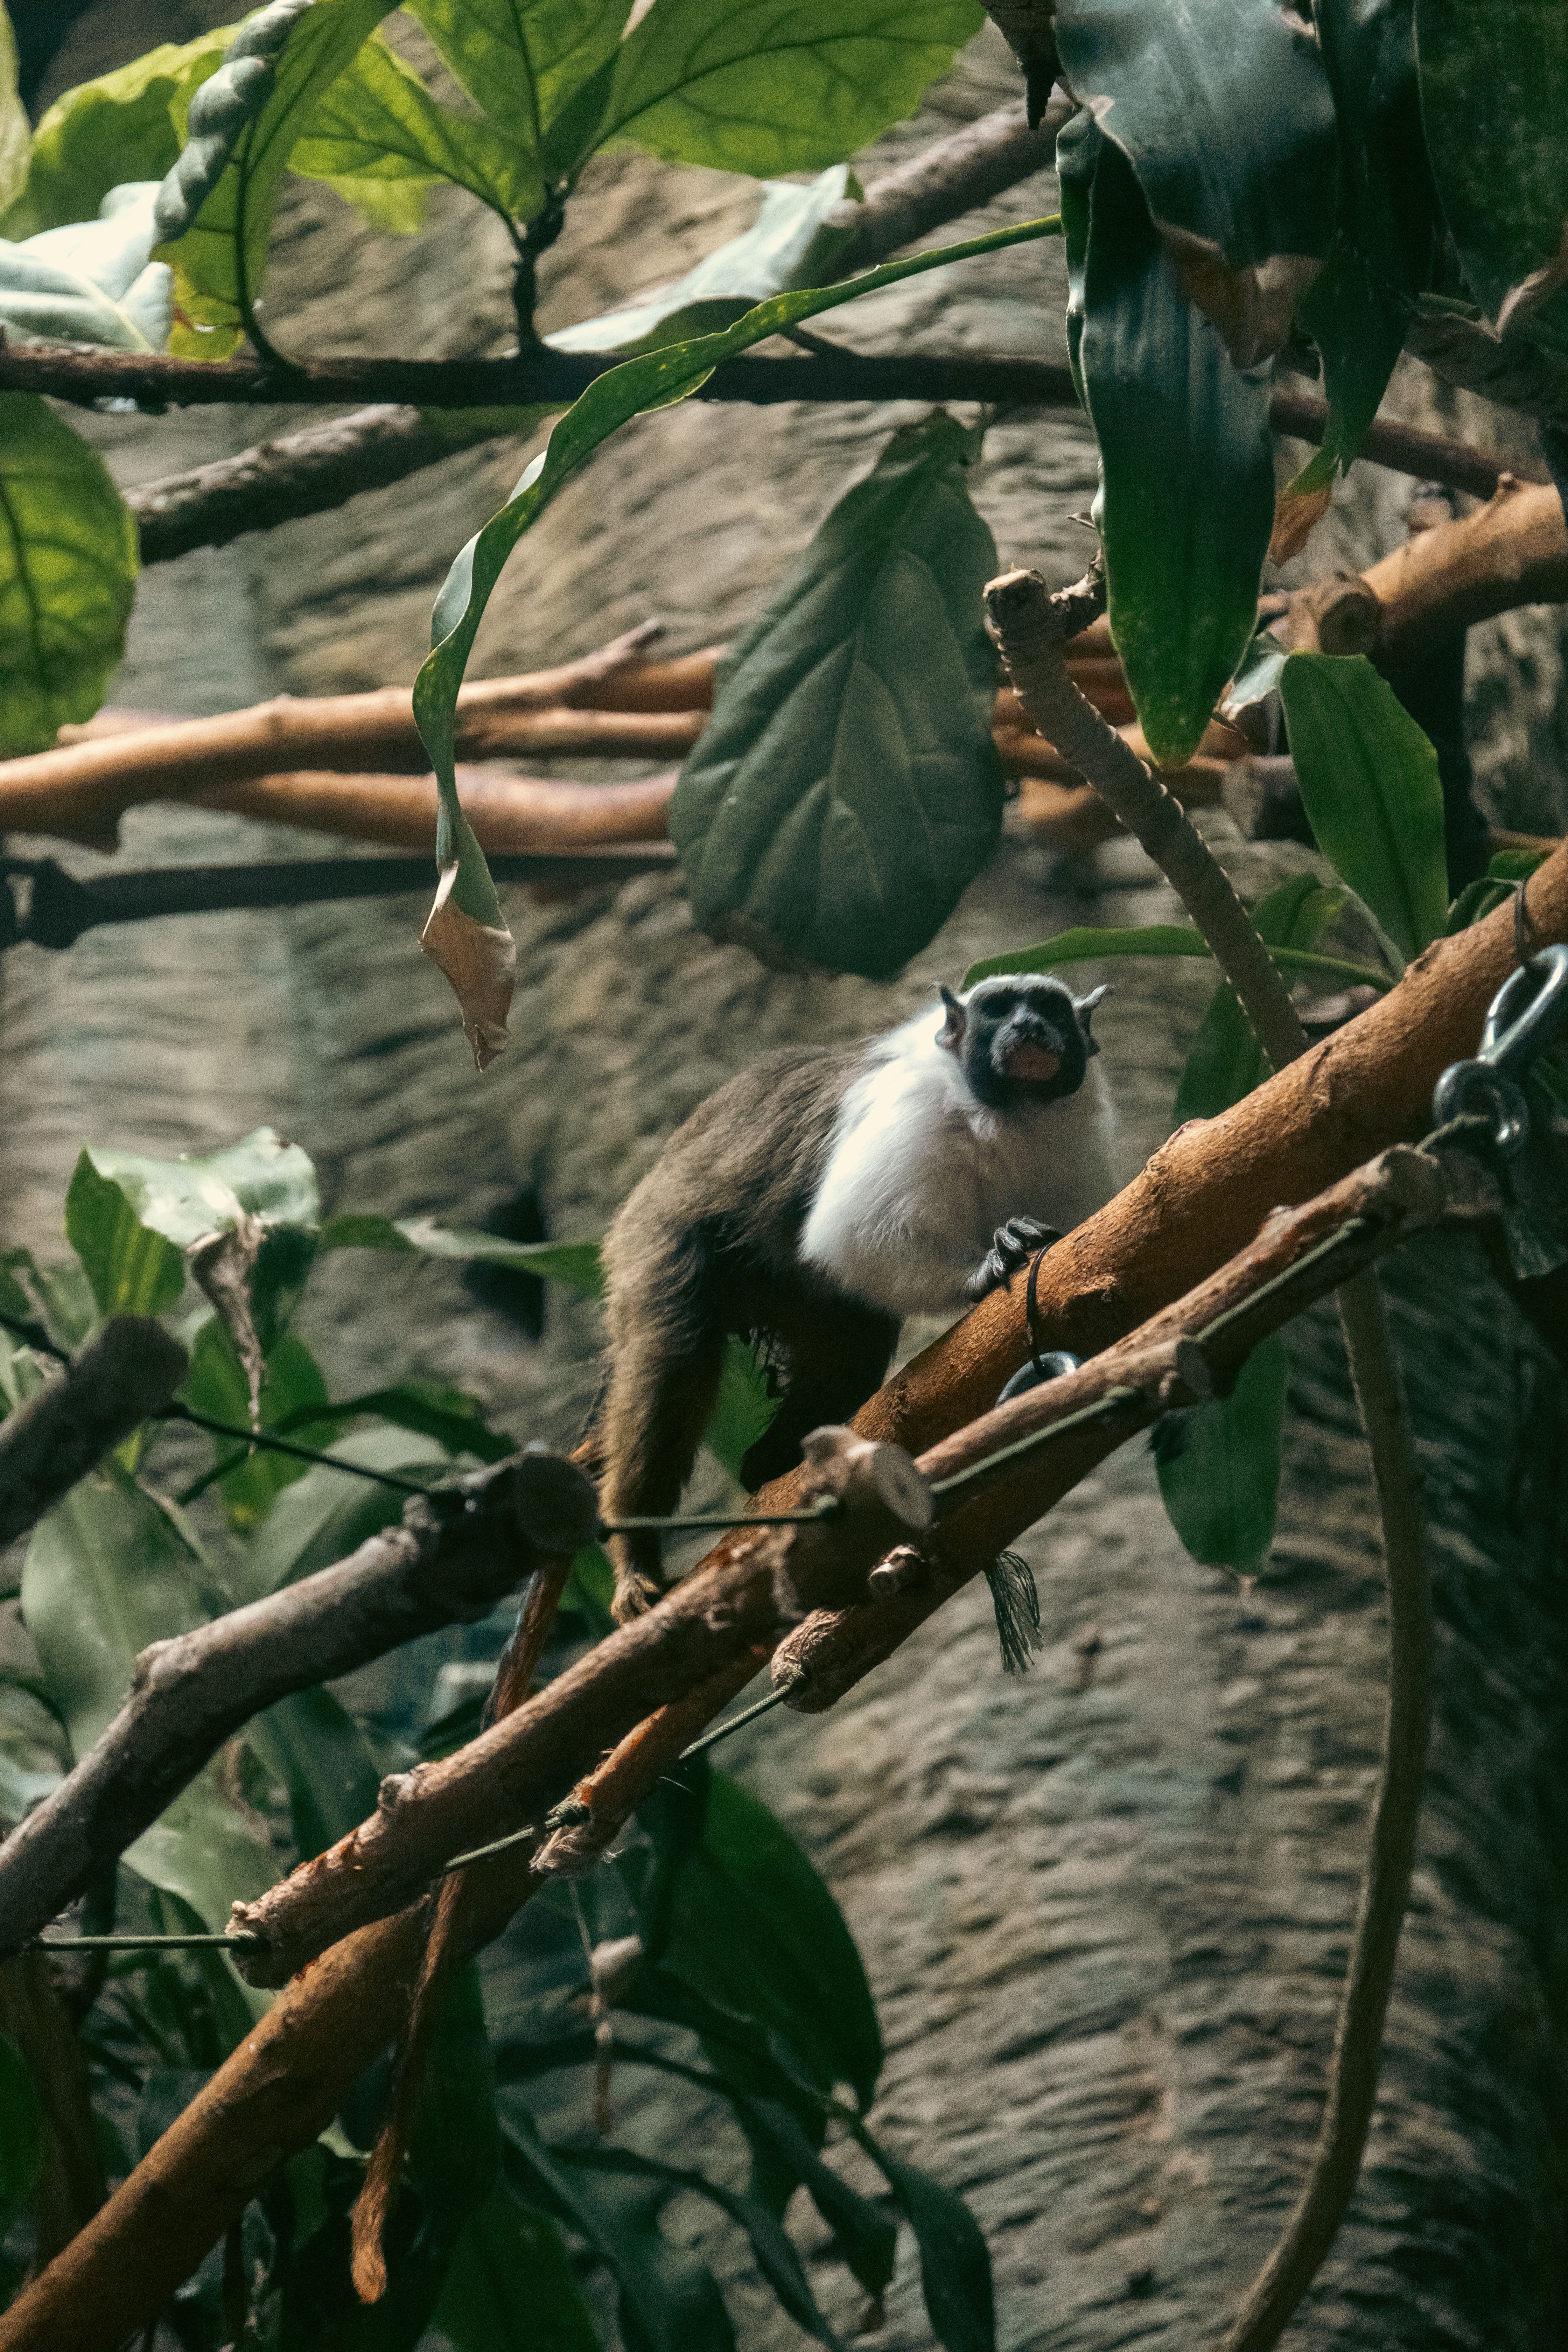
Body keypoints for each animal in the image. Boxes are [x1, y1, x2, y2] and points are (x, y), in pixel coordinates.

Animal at [587, 972, 1116, 1618]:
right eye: (997, 1011)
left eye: (1047, 1009)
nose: (1027, 1028)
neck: (1009, 1114)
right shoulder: (914, 1117)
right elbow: (856, 1231)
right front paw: (986, 1266)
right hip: (658, 1236)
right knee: (672, 1365)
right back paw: (637, 1560)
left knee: (850, 1351)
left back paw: (772, 1465)